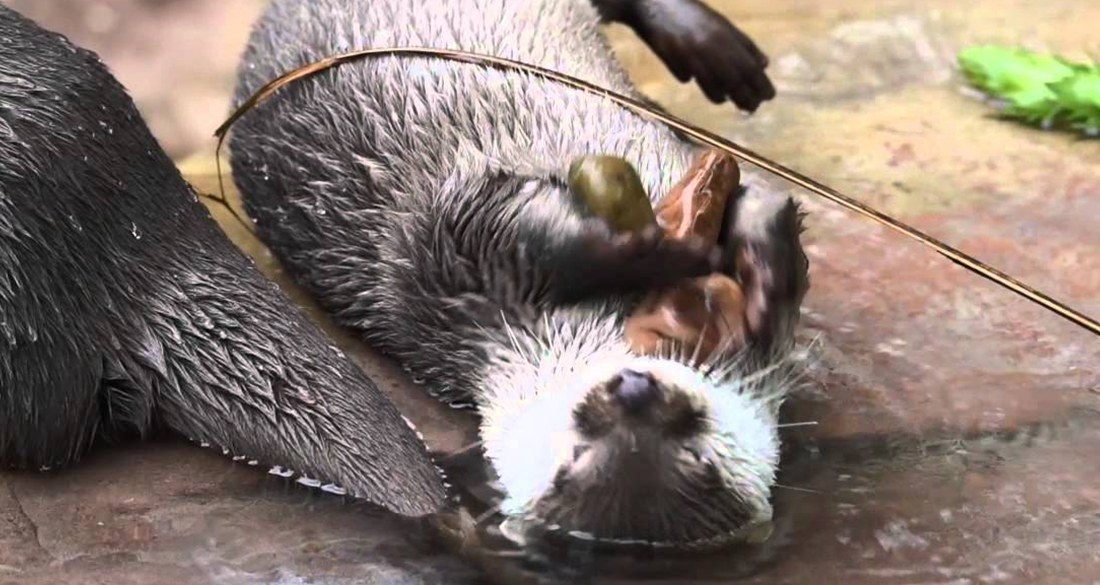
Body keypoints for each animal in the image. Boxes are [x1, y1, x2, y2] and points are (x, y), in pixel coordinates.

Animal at [229, 0, 808, 545]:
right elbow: (503, 229)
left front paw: (763, 271)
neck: (607, 316)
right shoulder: (454, 266)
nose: (633, 391)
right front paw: (654, 246)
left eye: (700, 459)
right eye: (572, 459)